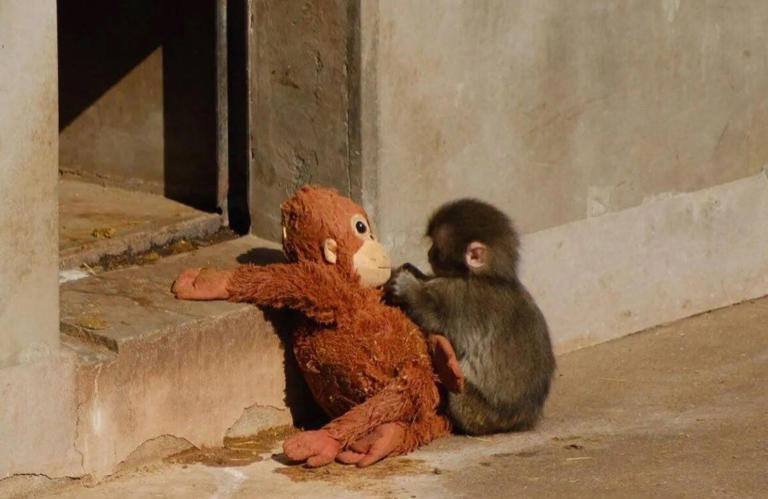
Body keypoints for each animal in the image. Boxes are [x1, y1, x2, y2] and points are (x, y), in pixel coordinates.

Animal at [385, 199, 555, 435]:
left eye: (437, 248)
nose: (429, 253)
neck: (488, 277)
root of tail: (521, 421)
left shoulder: (458, 296)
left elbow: (432, 317)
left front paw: (408, 287)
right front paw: (415, 272)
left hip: (478, 413)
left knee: (458, 393)